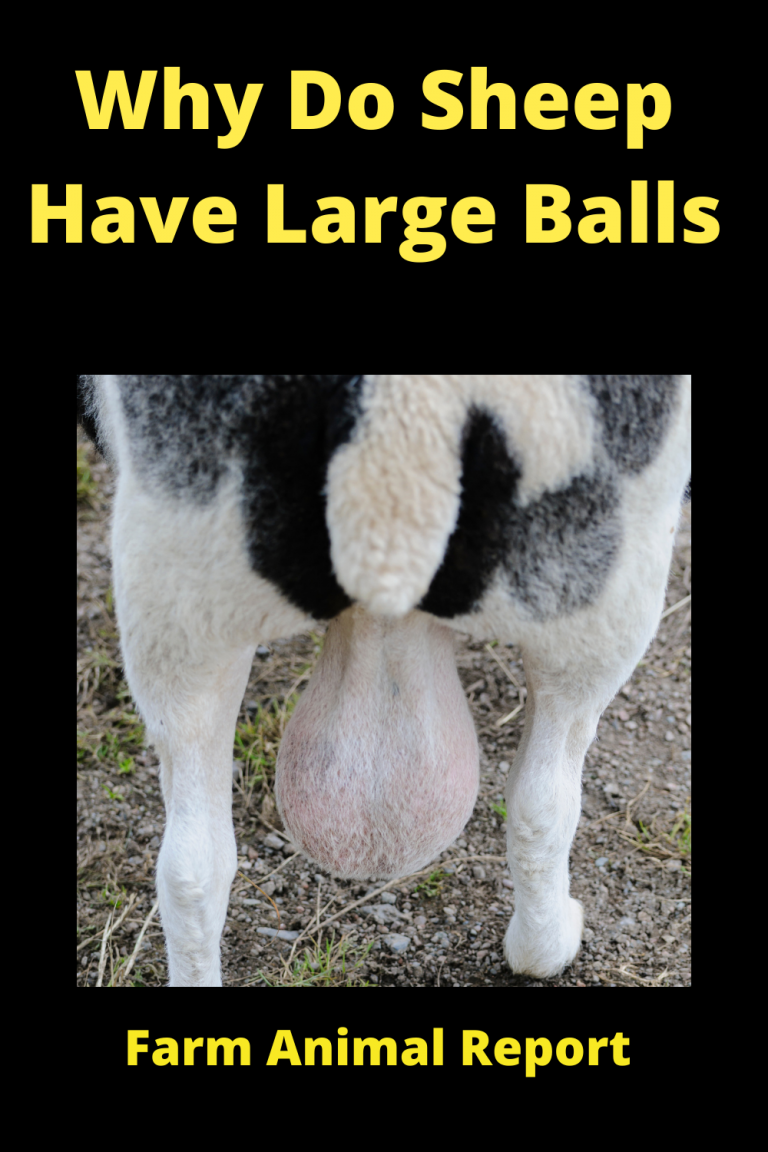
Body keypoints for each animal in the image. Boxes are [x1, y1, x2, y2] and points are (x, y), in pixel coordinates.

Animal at [77, 375, 691, 987]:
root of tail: (393, 410)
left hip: (181, 592)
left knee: (192, 864)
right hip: (605, 574)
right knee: (545, 799)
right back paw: (557, 939)